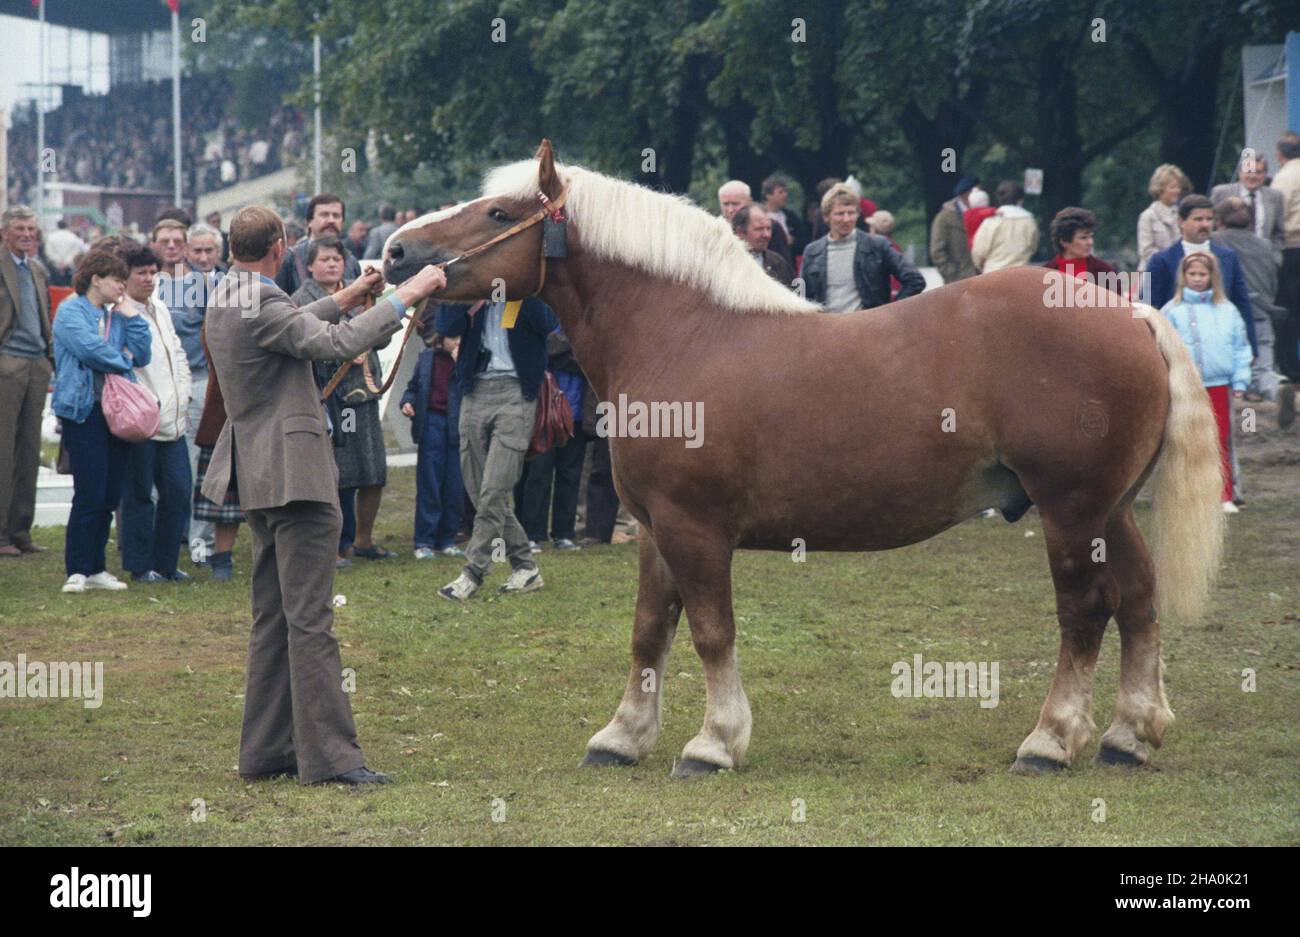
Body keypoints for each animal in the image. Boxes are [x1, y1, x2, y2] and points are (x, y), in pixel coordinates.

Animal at [383, 140, 1225, 778]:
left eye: (499, 212)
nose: (395, 253)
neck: (683, 332)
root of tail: (1133, 312)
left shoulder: (695, 529)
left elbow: (710, 631)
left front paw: (713, 743)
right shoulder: (654, 528)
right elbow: (649, 629)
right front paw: (622, 736)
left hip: (1071, 510)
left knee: (1085, 611)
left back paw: (1051, 740)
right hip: (1109, 510)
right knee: (1139, 599)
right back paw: (1129, 733)